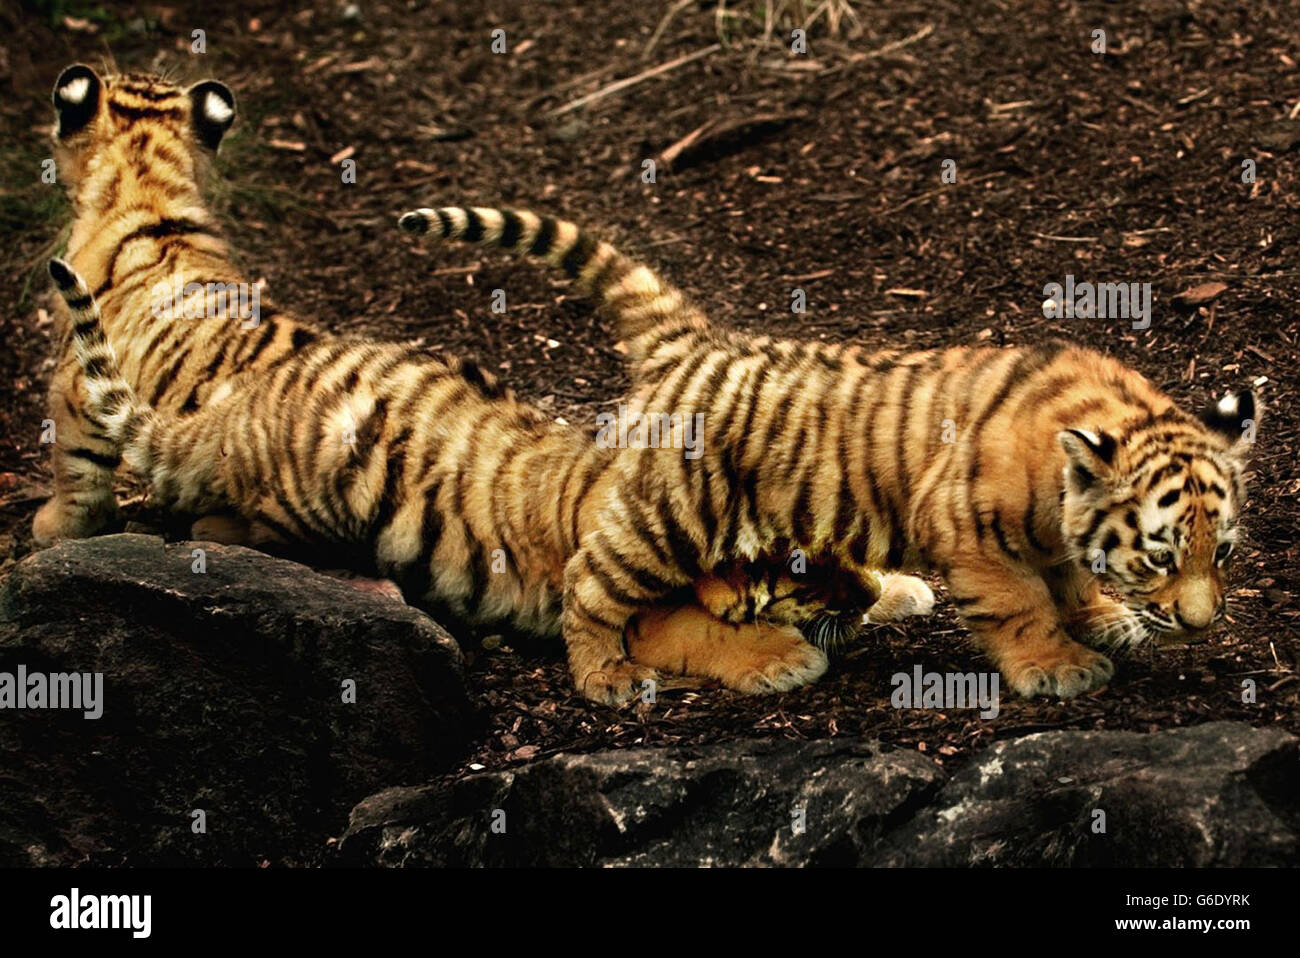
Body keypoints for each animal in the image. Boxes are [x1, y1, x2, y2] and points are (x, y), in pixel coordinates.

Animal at [47, 256, 941, 698]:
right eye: (806, 573)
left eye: (845, 550)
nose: (866, 591)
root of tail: (249, 399)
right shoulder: (649, 616)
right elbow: (705, 633)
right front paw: (784, 658)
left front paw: (902, 588)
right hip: (322, 491)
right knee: (219, 519)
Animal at [398, 204, 1259, 704]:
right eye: (1159, 556)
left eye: (1223, 554)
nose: (1203, 624)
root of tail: (695, 345)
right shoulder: (970, 534)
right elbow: (1020, 605)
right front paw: (1058, 665)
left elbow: (1072, 577)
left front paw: (1102, 618)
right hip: (667, 523)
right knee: (586, 580)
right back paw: (604, 675)